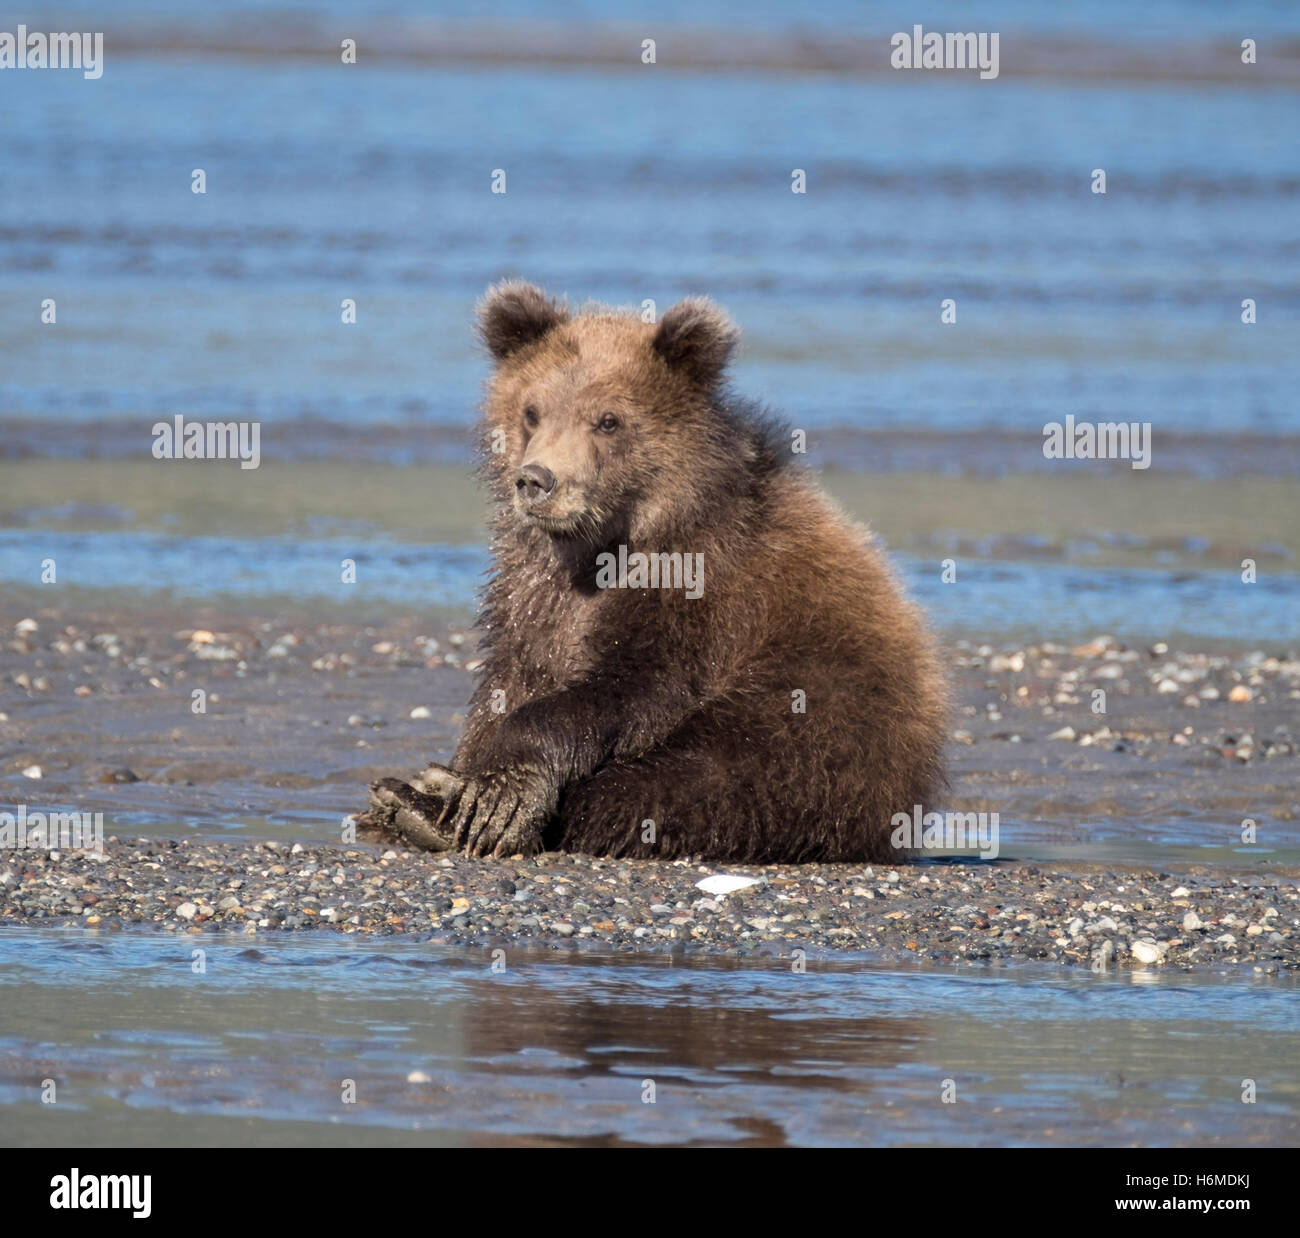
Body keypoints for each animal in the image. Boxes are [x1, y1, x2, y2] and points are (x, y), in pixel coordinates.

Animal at [358, 282, 948, 863]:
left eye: (608, 420)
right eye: (532, 411)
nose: (536, 480)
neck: (607, 540)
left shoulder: (701, 588)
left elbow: (636, 686)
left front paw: (493, 799)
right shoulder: (532, 591)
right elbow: (511, 676)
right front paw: (458, 775)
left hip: (817, 707)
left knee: (694, 781)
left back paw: (429, 806)